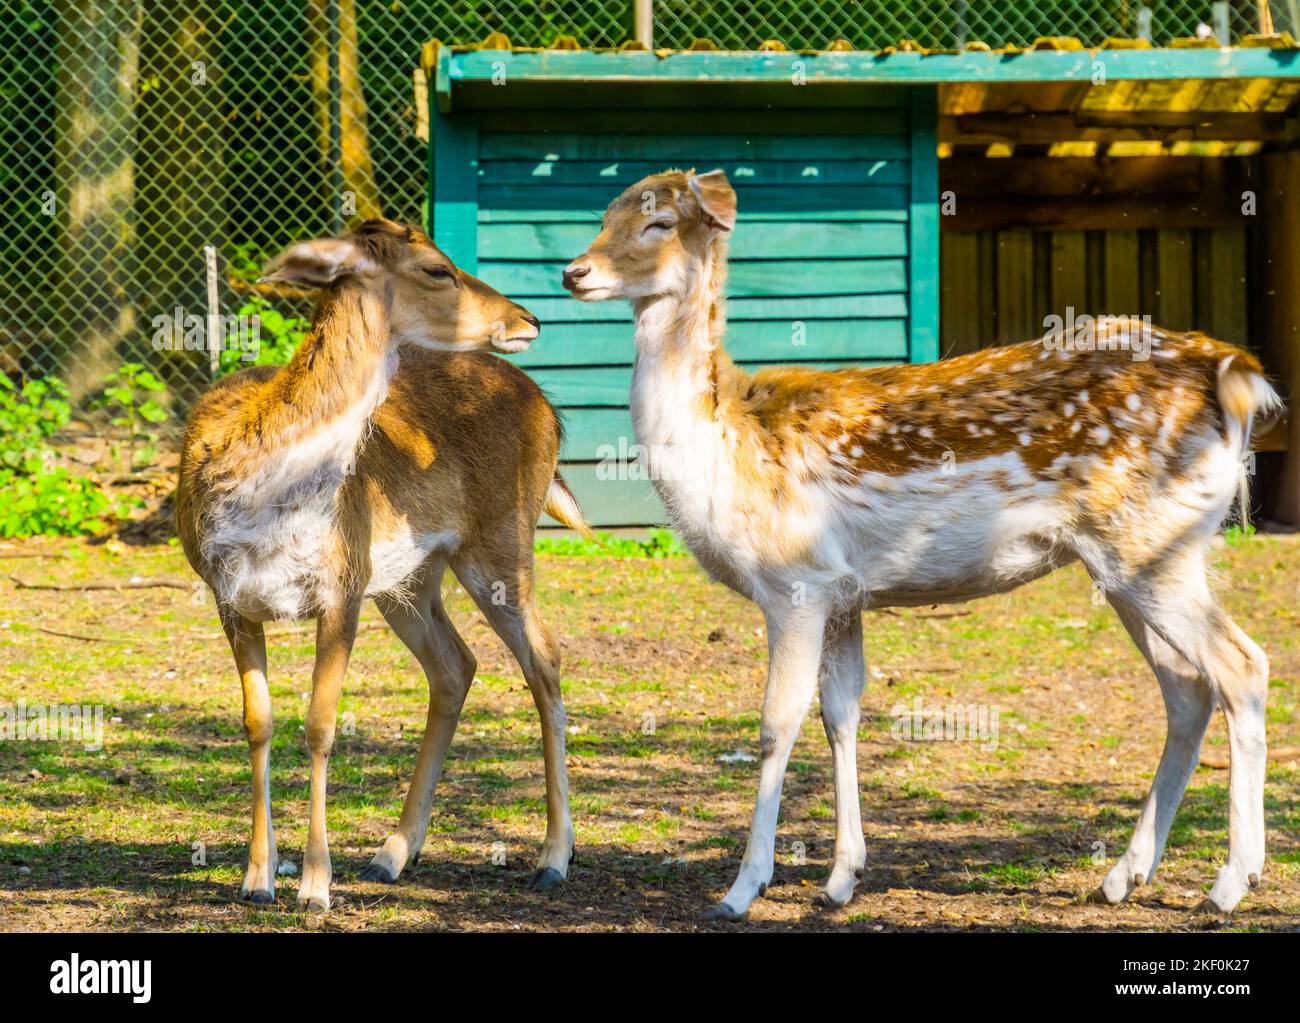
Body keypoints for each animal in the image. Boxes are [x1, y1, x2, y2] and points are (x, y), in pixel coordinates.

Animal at [176, 219, 589, 912]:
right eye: (437, 268)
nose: (528, 318)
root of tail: (551, 410)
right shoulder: (227, 594)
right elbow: (258, 722)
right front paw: (258, 879)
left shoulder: (341, 584)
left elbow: (320, 724)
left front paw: (315, 886)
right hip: (408, 580)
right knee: (456, 665)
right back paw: (392, 854)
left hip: (501, 542)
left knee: (545, 658)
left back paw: (554, 860)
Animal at [562, 169, 1283, 921]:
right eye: (605, 213)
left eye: (660, 222)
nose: (573, 271)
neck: (725, 443)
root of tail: (1237, 377)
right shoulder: (844, 594)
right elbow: (841, 714)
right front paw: (840, 878)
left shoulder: (794, 581)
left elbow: (774, 723)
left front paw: (742, 888)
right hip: (1136, 558)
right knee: (1188, 688)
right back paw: (1123, 876)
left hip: (1150, 544)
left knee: (1242, 665)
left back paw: (1231, 882)